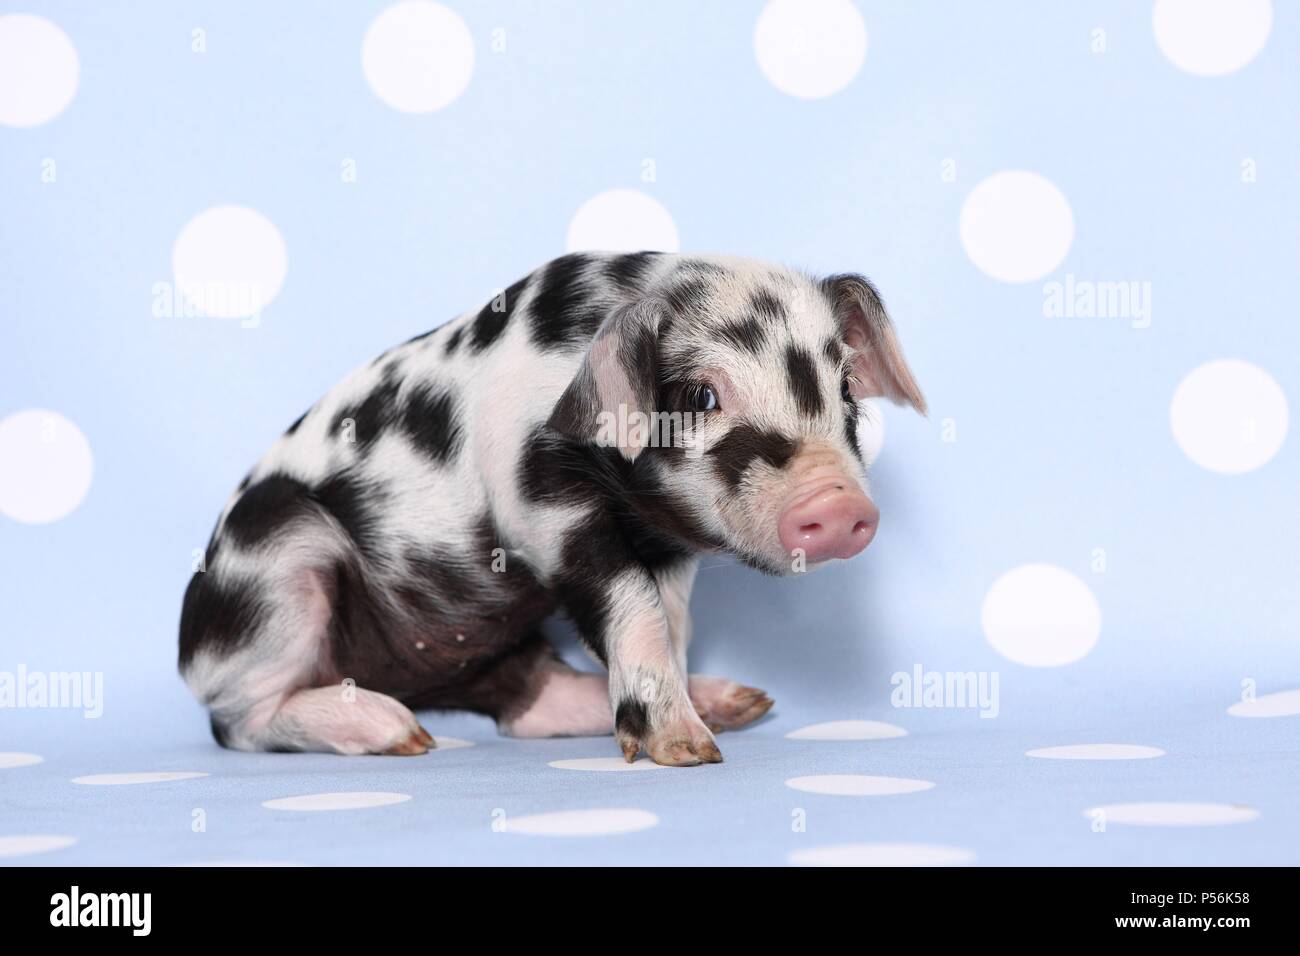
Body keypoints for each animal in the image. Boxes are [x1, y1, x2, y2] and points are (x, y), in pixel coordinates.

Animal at [178, 252, 926, 766]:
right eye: (701, 397)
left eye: (846, 387)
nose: (838, 504)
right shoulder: (537, 501)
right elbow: (632, 608)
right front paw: (689, 749)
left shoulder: (666, 547)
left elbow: (673, 624)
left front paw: (712, 712)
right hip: (278, 567)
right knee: (239, 721)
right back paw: (402, 736)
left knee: (525, 704)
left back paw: (741, 702)